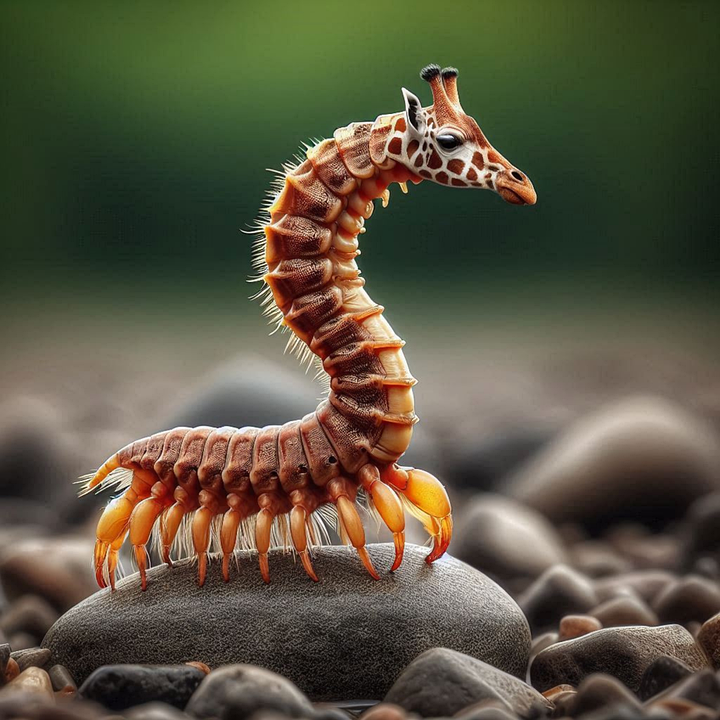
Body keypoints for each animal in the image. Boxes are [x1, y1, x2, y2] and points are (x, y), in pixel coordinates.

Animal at [81, 64, 536, 590]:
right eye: (449, 139)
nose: (522, 184)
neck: (355, 405)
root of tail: (132, 450)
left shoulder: (383, 472)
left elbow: (430, 501)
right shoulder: (348, 477)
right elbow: (375, 529)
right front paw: (376, 569)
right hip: (156, 486)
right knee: (125, 527)